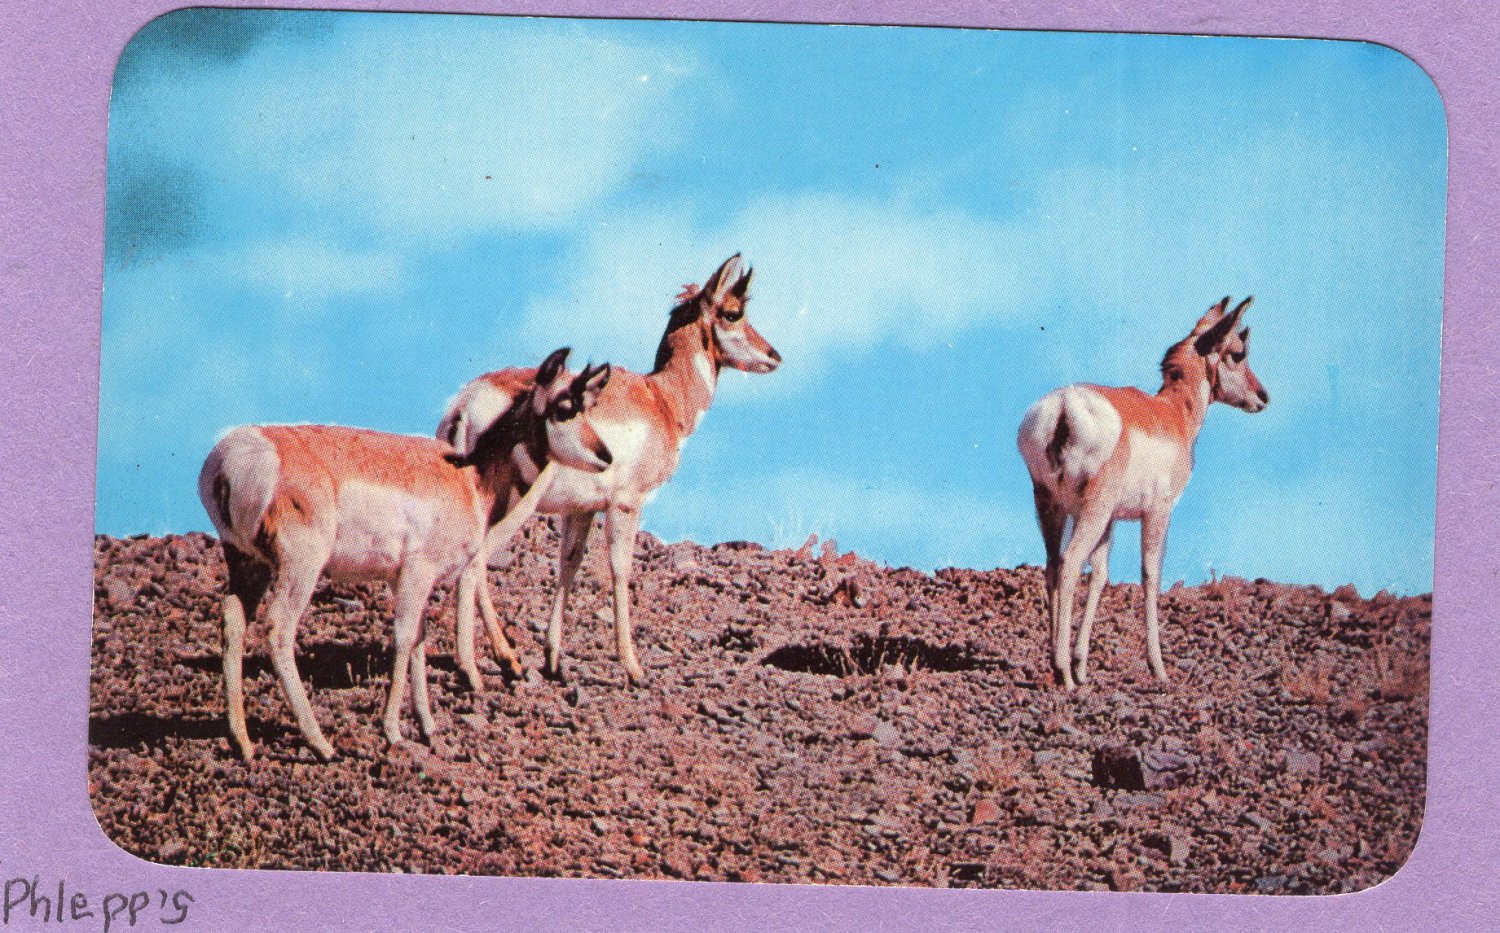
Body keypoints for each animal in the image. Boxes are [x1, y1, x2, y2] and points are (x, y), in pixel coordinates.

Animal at [197, 348, 612, 761]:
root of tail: (240, 456)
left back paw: (242, 741)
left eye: (589, 404)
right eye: (565, 406)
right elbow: (404, 636)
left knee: (233, 623)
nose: (606, 457)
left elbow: (419, 639)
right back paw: (321, 743)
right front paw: (393, 730)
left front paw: (427, 727)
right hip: (300, 567)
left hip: (248, 564)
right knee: (279, 629)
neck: (469, 477)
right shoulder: (418, 573)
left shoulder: (407, 580)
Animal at [438, 254, 780, 684]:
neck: (662, 399)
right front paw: (633, 667)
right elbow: (620, 569)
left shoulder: (581, 511)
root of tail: (467, 401)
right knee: (477, 562)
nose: (774, 356)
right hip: (514, 505)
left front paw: (553, 659)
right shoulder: (626, 504)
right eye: (733, 312)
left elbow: (569, 564)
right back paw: (501, 659)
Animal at [1017, 297, 1268, 690]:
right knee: (1071, 562)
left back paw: (1062, 668)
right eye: (1238, 353)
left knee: (1054, 565)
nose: (1263, 396)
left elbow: (1101, 576)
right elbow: (1151, 575)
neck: (1172, 413)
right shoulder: (1158, 514)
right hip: (1092, 512)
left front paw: (1083, 663)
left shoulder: (1112, 523)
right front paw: (1158, 668)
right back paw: (1063, 673)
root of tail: (1065, 404)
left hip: (1052, 506)